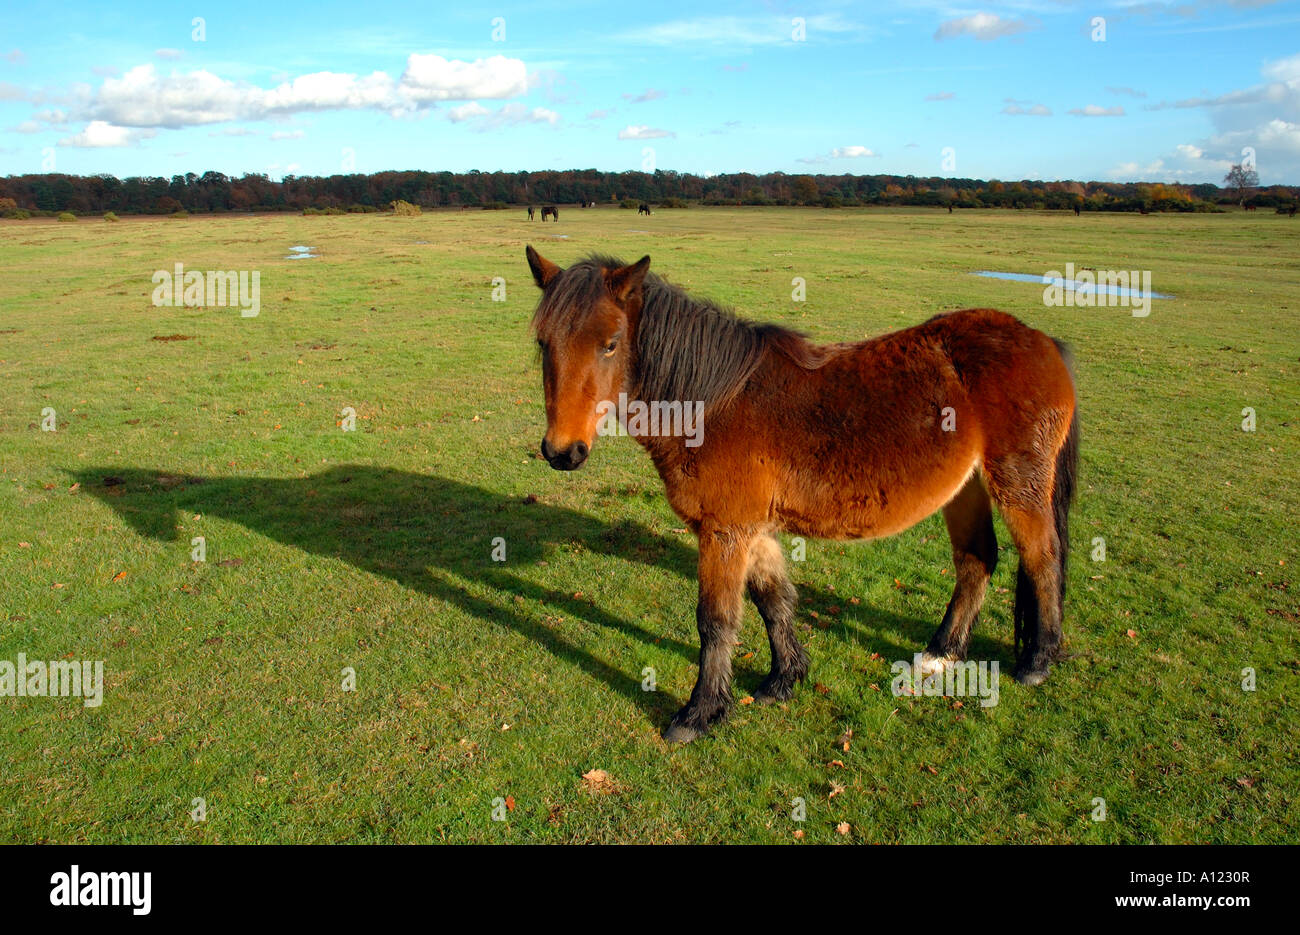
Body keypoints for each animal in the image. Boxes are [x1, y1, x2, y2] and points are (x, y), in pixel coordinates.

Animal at [526, 247, 1080, 743]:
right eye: (543, 343)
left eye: (611, 343)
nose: (562, 452)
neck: (714, 403)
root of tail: (1042, 340)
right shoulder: (752, 530)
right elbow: (773, 600)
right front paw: (783, 679)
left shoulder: (725, 532)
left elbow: (715, 620)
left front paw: (700, 713)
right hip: (965, 490)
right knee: (976, 560)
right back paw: (942, 652)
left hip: (1019, 486)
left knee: (1042, 558)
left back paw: (1037, 661)